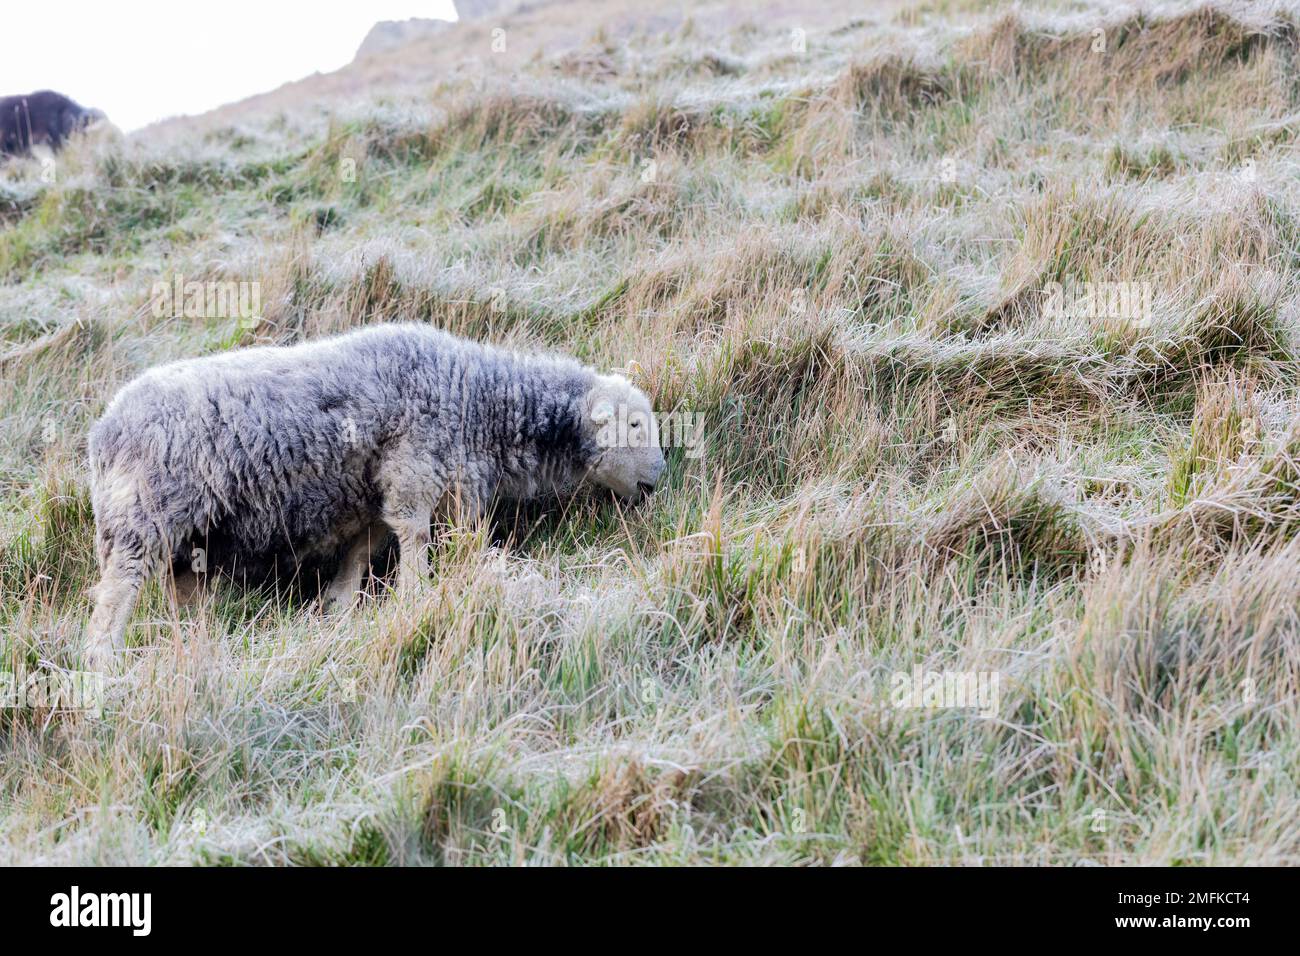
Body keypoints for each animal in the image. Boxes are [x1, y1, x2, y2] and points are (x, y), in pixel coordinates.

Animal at [85, 323, 667, 669]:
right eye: (636, 423)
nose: (659, 477)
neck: (475, 398)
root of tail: (104, 430)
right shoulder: (411, 468)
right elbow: (414, 534)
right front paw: (416, 595)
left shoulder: (378, 490)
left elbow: (364, 547)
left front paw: (340, 604)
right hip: (141, 515)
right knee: (117, 590)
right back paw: (103, 657)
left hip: (190, 536)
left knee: (177, 589)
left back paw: (188, 643)